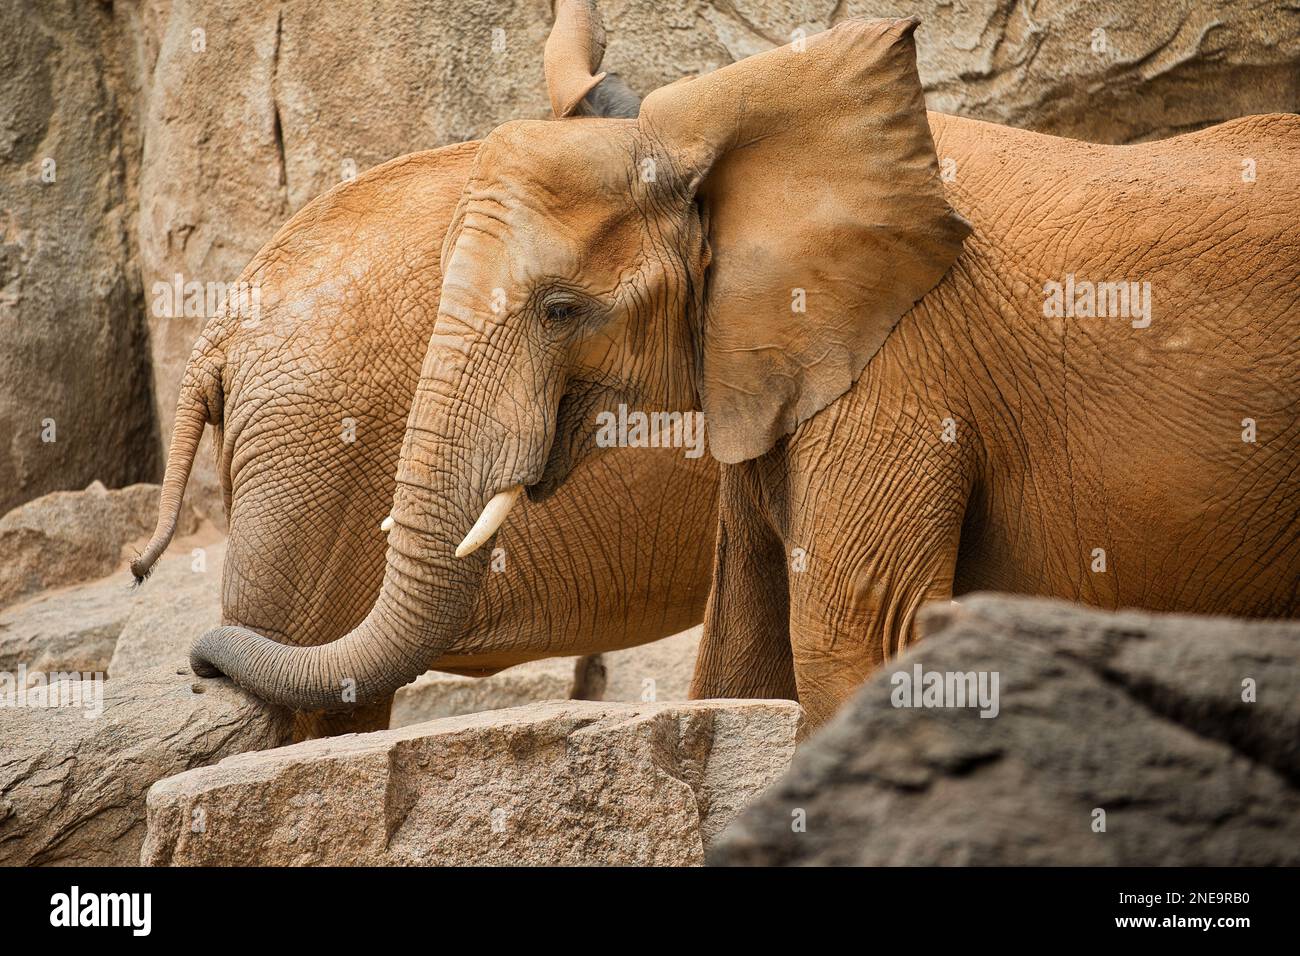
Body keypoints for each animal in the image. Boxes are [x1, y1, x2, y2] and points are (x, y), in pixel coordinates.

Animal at [188, 14, 1300, 728]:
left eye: (560, 311)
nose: (199, 657)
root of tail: (220, 335)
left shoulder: (896, 365)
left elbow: (852, 643)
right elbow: (753, 654)